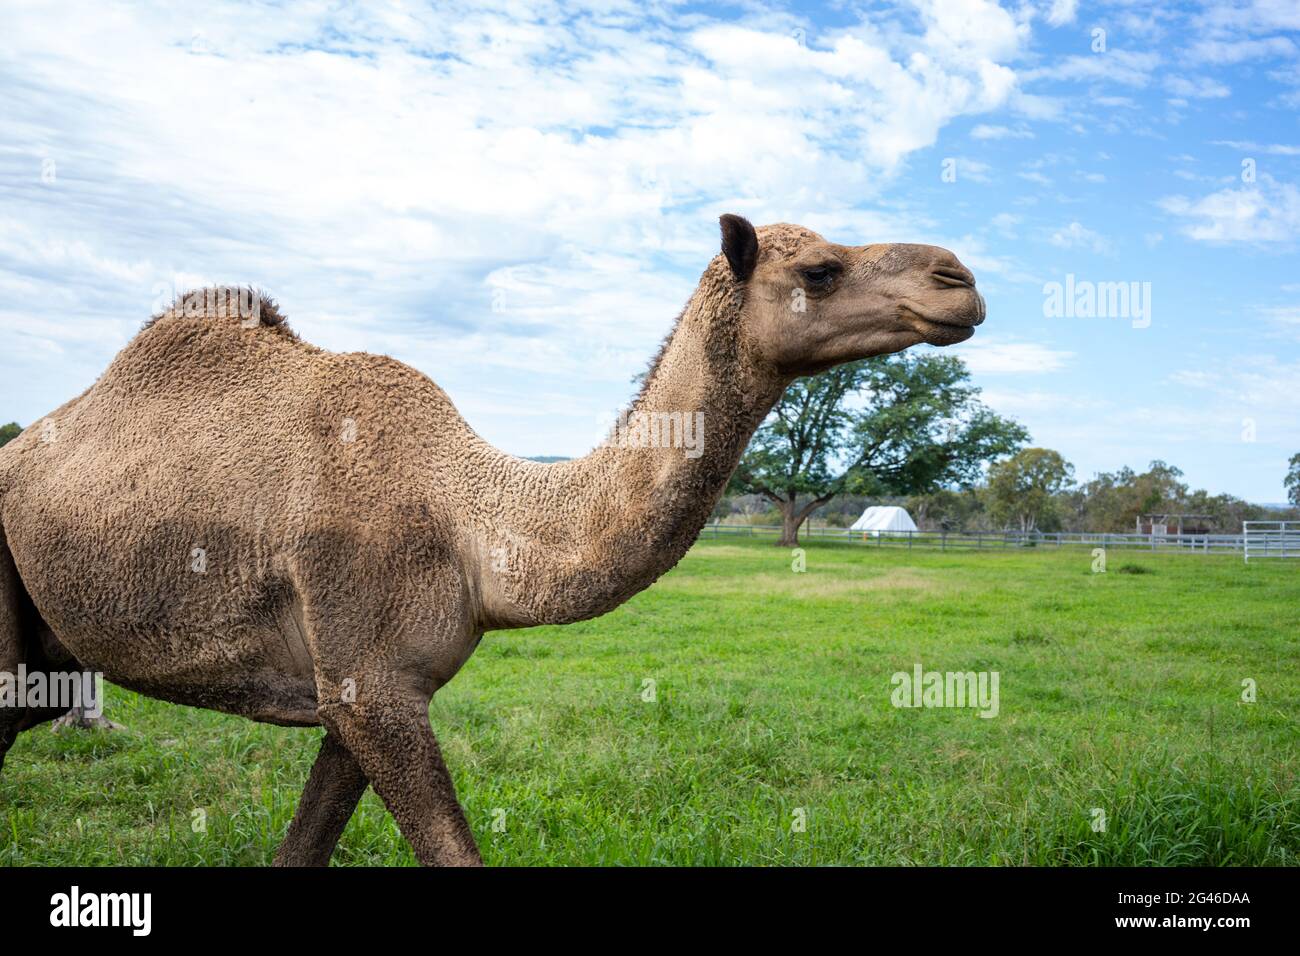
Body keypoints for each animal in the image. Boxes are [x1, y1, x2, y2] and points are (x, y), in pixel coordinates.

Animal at [0, 215, 984, 865]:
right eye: (820, 270)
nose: (959, 277)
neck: (472, 517)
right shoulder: (367, 683)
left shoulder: (369, 691)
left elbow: (303, 847)